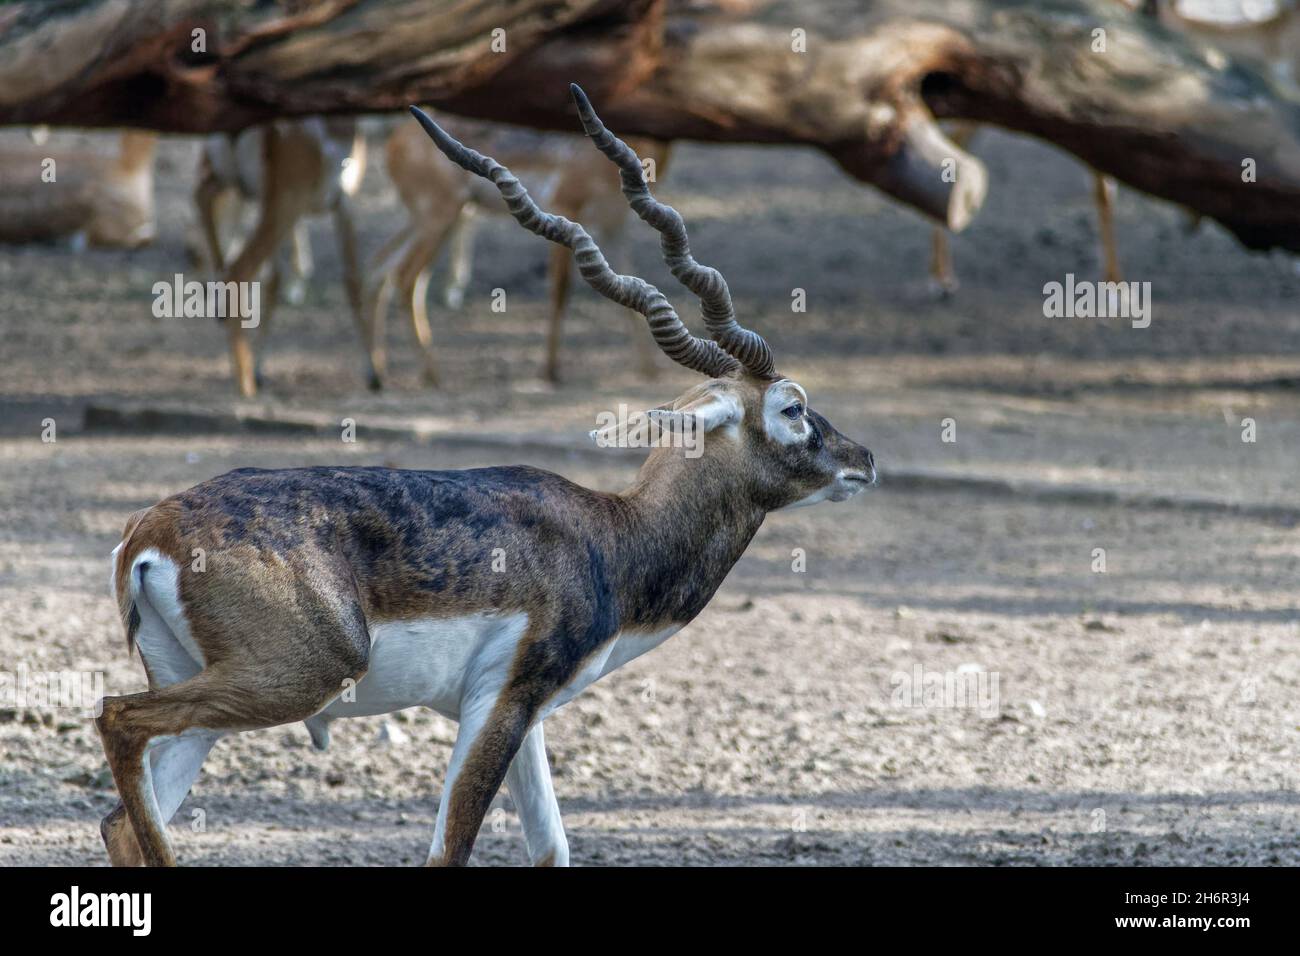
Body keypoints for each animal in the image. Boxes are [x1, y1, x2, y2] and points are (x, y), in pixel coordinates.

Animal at [203, 118, 373, 397]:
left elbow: (275, 280)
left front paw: (260, 370)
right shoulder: (344, 203)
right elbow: (353, 280)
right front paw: (374, 374)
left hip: (239, 185)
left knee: (201, 198)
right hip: (284, 201)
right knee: (239, 270)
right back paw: (245, 383)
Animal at [369, 115, 672, 385]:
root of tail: (397, 138)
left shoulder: (614, 227)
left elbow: (628, 292)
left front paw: (651, 370)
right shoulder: (567, 210)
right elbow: (560, 290)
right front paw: (549, 372)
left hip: (430, 221)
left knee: (383, 267)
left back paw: (379, 373)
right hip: (439, 218)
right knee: (405, 277)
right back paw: (430, 375)